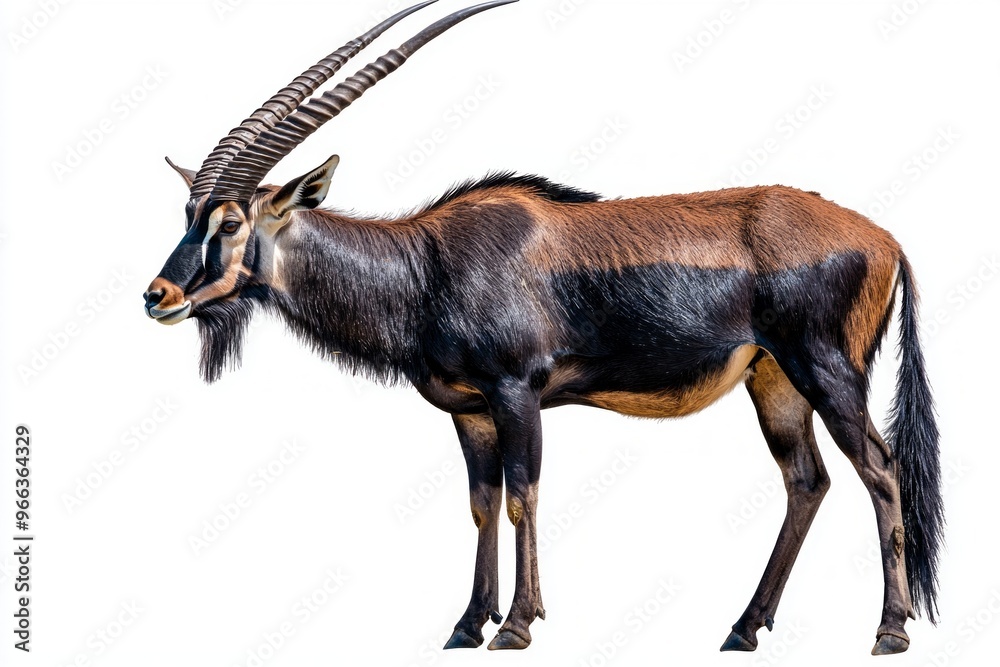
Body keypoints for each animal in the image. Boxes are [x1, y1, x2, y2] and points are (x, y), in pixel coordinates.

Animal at [144, 0, 943, 656]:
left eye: (232, 221)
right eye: (189, 213)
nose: (159, 296)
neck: (425, 263)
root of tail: (883, 238)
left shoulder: (516, 392)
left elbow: (523, 493)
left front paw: (518, 625)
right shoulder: (470, 411)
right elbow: (481, 502)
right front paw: (467, 624)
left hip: (826, 371)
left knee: (880, 468)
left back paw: (889, 631)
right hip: (773, 381)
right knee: (806, 479)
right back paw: (743, 628)